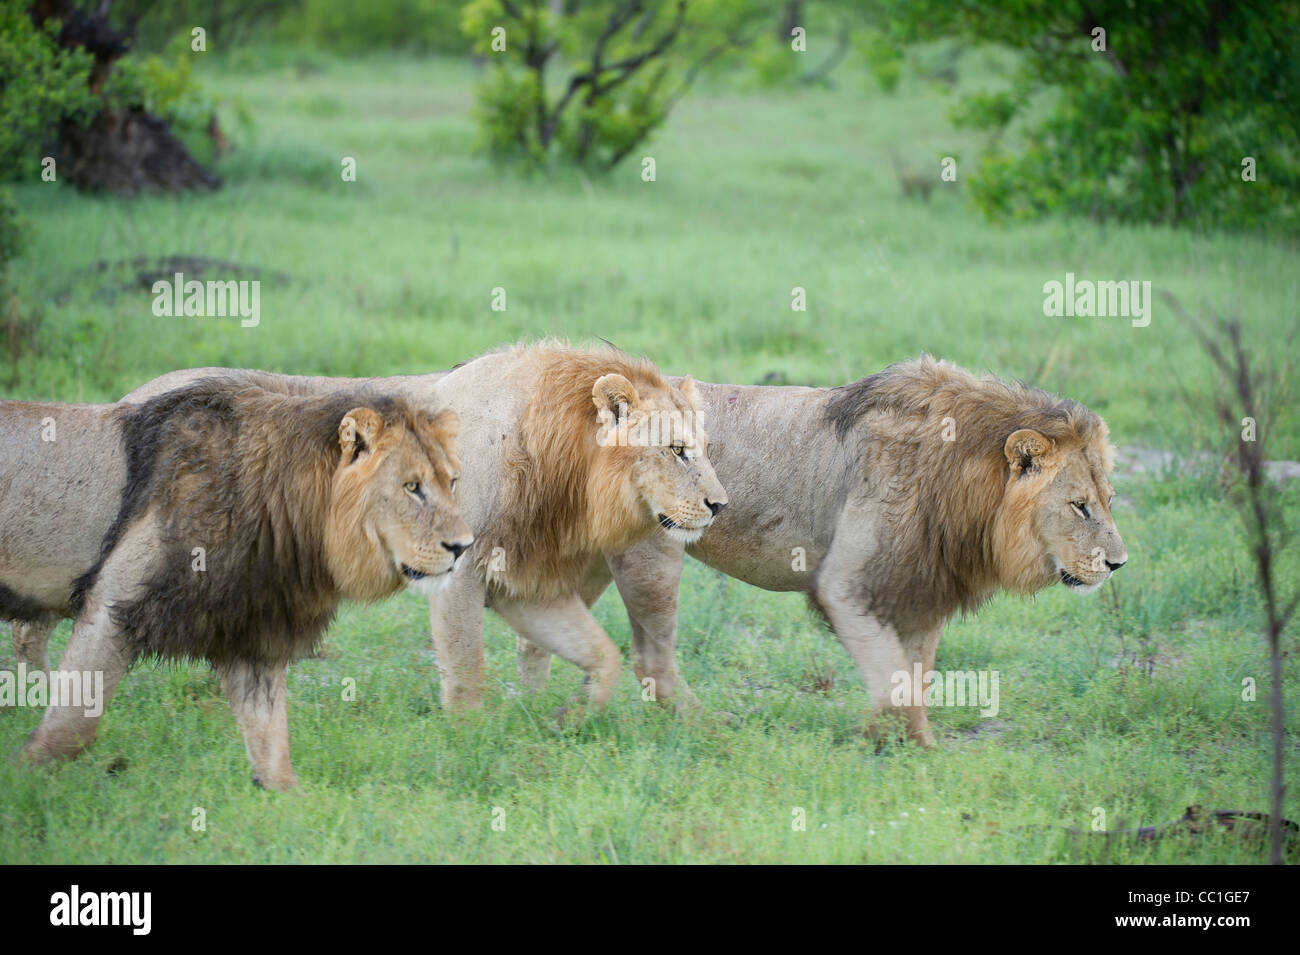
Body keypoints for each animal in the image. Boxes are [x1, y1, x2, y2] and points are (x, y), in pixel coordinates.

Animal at [2, 380, 472, 790]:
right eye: (412, 487)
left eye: (451, 482)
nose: (463, 546)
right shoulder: (113, 605)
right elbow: (74, 721)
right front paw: (25, 778)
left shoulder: (252, 631)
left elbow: (270, 737)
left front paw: (289, 801)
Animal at [95, 342, 728, 711]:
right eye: (676, 451)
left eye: (702, 447)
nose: (720, 505)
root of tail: (125, 398)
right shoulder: (459, 568)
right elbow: (468, 670)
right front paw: (473, 750)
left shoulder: (518, 583)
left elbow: (600, 654)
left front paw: (578, 717)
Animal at [514, 355, 1128, 745]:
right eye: (1079, 507)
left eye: (1110, 500)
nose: (1118, 563)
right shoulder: (847, 588)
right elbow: (893, 678)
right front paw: (885, 741)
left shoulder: (920, 589)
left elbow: (917, 676)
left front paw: (914, 746)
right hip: (654, 553)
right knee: (652, 661)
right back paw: (712, 731)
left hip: (592, 556)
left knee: (537, 629)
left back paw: (533, 712)